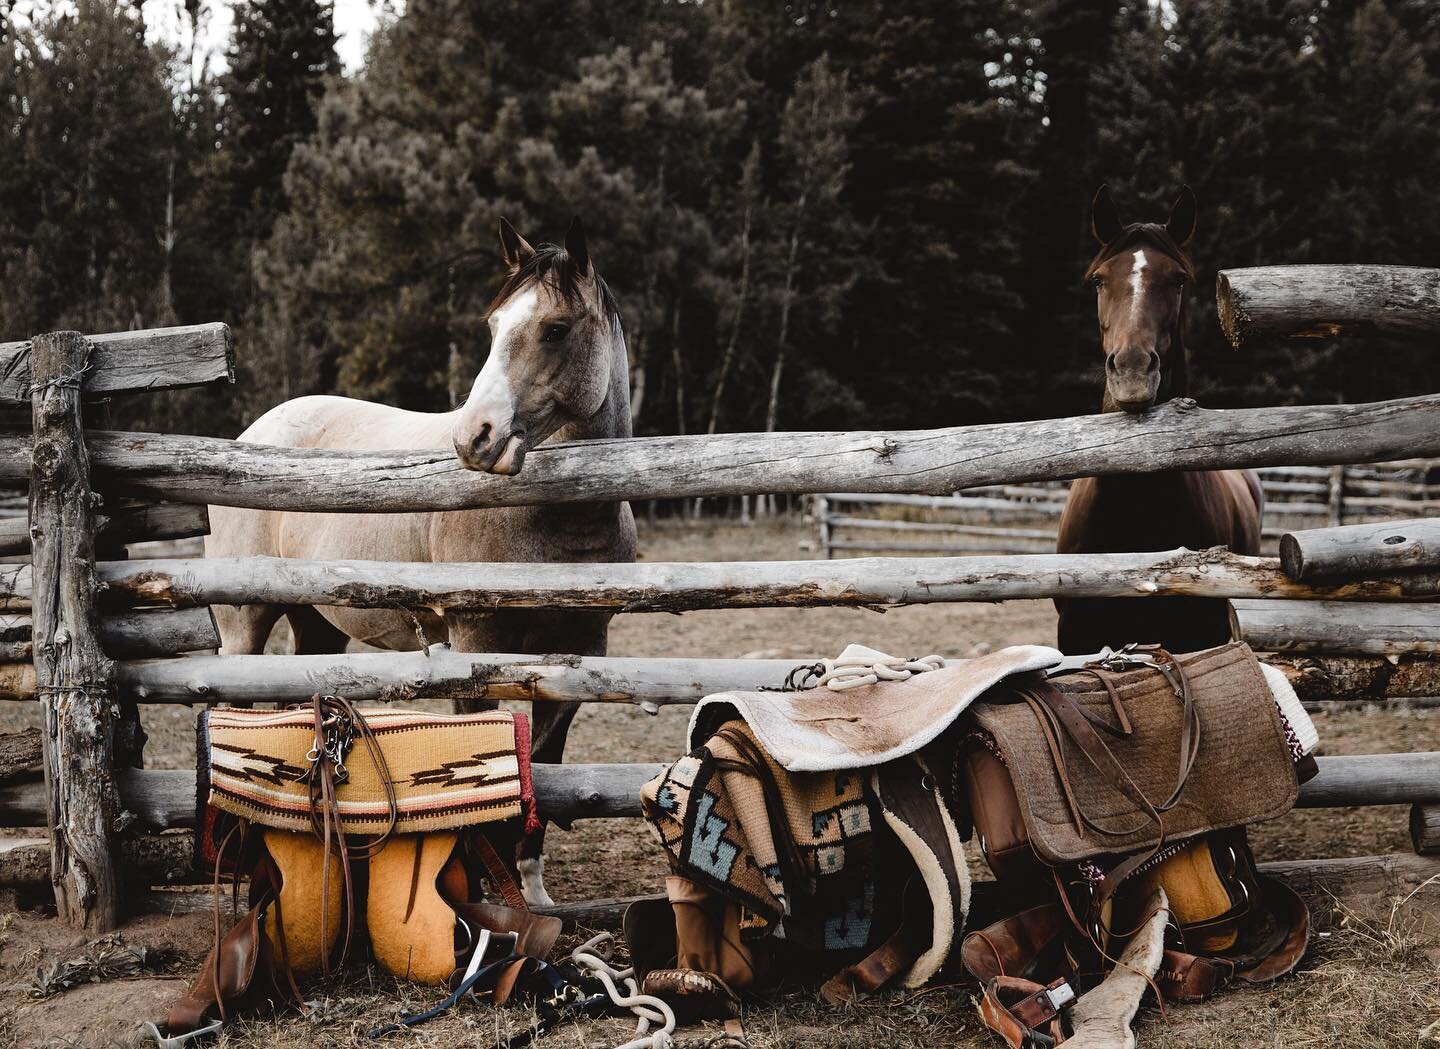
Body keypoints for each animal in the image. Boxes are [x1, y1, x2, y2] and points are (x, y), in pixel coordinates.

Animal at [205, 218, 637, 906]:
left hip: (318, 624)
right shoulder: (474, 646)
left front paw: (532, 891)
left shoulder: (580, 656)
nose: (475, 438)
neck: (558, 521)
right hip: (244, 626)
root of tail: (255, 434)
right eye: (493, 325)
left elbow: (544, 766)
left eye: (555, 329)